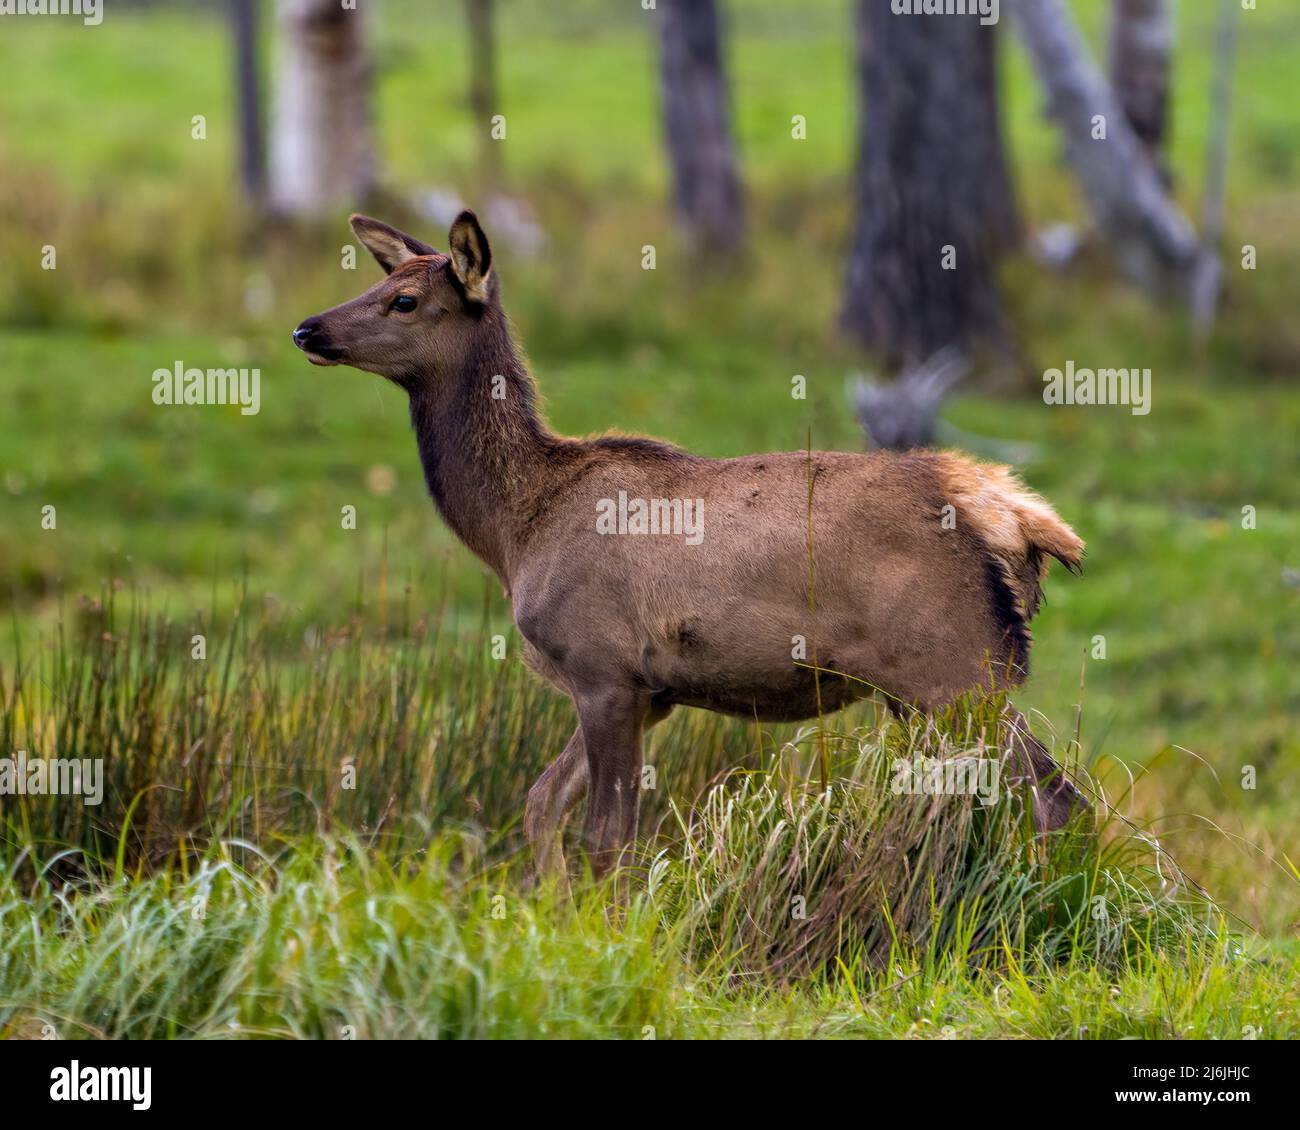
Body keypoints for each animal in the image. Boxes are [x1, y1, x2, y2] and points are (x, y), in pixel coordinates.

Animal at [294, 210, 1089, 883]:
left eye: (404, 300)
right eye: (376, 281)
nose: (307, 329)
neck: (515, 530)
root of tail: (1015, 516)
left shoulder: (603, 666)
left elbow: (607, 838)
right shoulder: (650, 691)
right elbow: (539, 804)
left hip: (957, 667)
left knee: (1054, 796)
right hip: (936, 685)